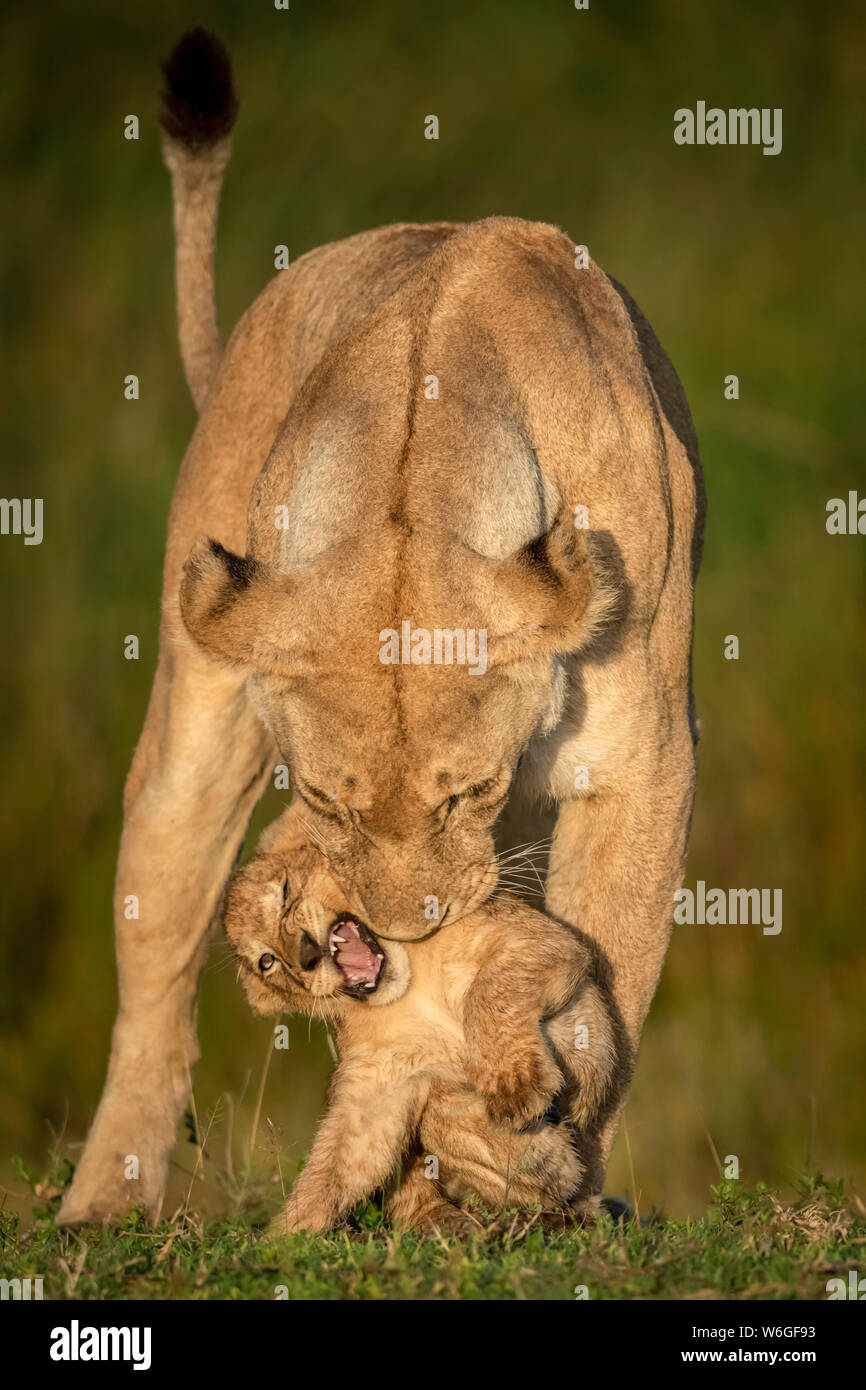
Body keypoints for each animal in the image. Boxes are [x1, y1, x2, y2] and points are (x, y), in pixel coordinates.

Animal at [225, 810, 617, 1235]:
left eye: (284, 892)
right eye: (267, 962)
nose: (305, 955)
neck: (411, 985)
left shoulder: (540, 942)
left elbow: (490, 991)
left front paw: (516, 1086)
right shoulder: (376, 1083)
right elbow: (340, 1162)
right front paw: (284, 1235)